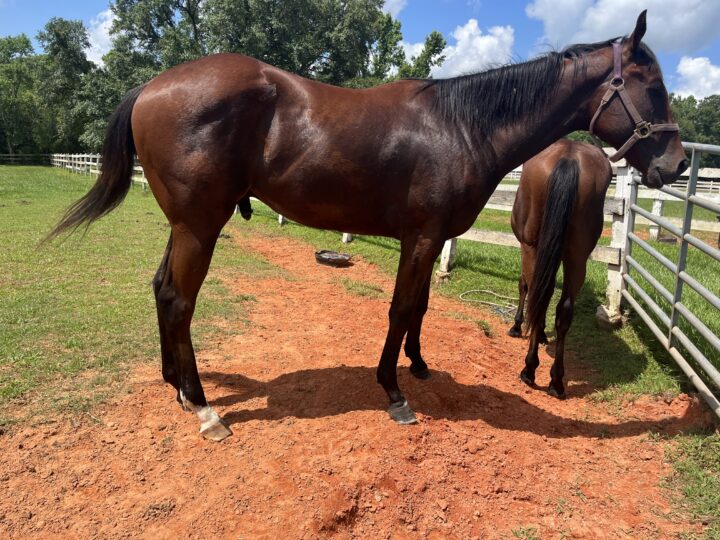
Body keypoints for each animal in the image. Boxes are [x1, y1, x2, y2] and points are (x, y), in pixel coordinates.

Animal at [507, 140, 613, 399]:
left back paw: (529, 369)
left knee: (539, 293)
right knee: (563, 309)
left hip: (533, 247)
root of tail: (570, 156)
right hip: (577, 257)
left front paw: (518, 326)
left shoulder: (526, 247)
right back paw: (556, 380)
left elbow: (525, 286)